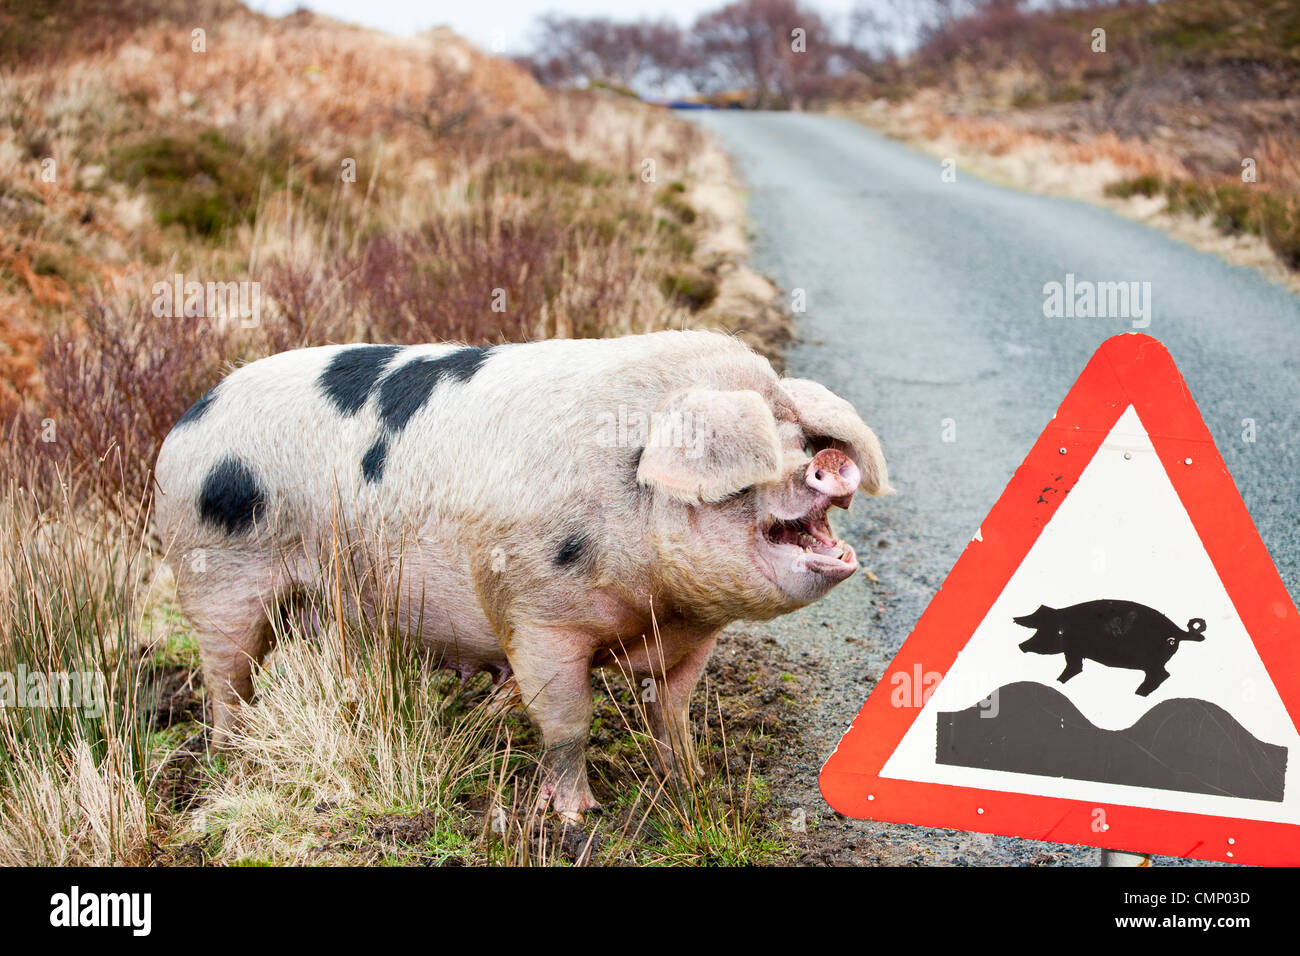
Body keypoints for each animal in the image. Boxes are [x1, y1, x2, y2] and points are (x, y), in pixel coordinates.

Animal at [153, 329, 891, 815]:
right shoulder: (536, 616)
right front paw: (578, 815)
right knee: (227, 681)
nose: (828, 461)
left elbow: (672, 713)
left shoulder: (691, 637)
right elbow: (568, 722)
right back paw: (230, 758)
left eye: (801, 436)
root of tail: (188, 418)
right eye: (764, 454)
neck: (658, 604)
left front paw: (693, 785)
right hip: (216, 579)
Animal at [1014, 599, 1206, 697]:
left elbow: (1074, 668)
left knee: (1163, 674)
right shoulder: (1075, 652)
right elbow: (1075, 668)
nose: (1020, 646)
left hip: (1152, 661)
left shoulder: (1074, 651)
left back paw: (1138, 693)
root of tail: (1177, 631)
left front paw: (1058, 682)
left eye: (1053, 631)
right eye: (1038, 629)